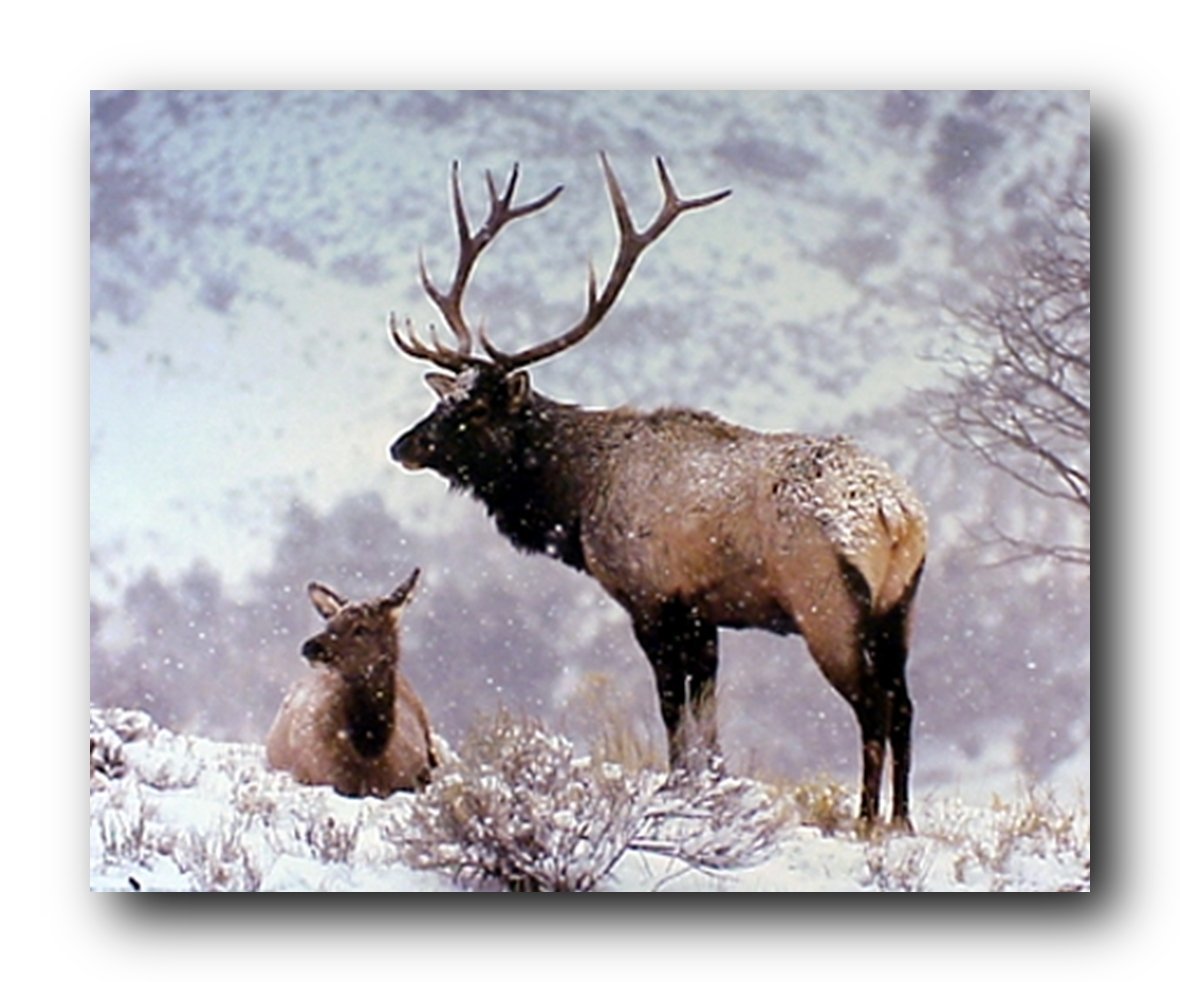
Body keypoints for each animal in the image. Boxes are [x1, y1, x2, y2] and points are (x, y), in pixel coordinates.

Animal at [387, 155, 927, 830]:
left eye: (474, 410)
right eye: (444, 399)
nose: (402, 446)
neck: (577, 501)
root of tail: (895, 514)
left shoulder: (652, 599)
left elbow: (674, 707)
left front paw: (677, 791)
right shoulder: (703, 613)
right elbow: (708, 712)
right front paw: (713, 787)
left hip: (827, 604)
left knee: (872, 706)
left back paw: (866, 819)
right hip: (900, 606)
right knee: (905, 704)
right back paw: (902, 820)